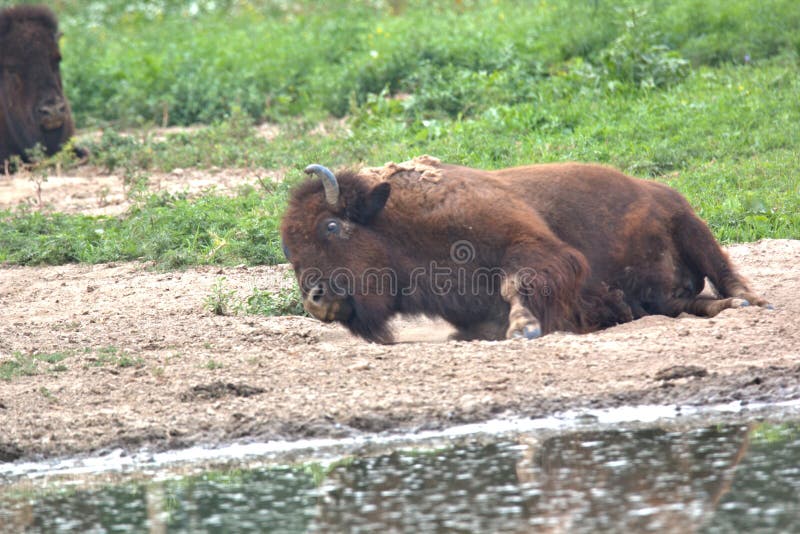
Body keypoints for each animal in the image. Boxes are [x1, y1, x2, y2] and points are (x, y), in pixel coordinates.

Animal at [280, 156, 769, 343]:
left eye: (331, 225)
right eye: (289, 248)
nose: (315, 299)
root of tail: (660, 191)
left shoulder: (535, 247)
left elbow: (518, 282)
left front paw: (524, 327)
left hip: (690, 224)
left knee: (726, 273)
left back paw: (748, 301)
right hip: (665, 294)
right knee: (687, 303)